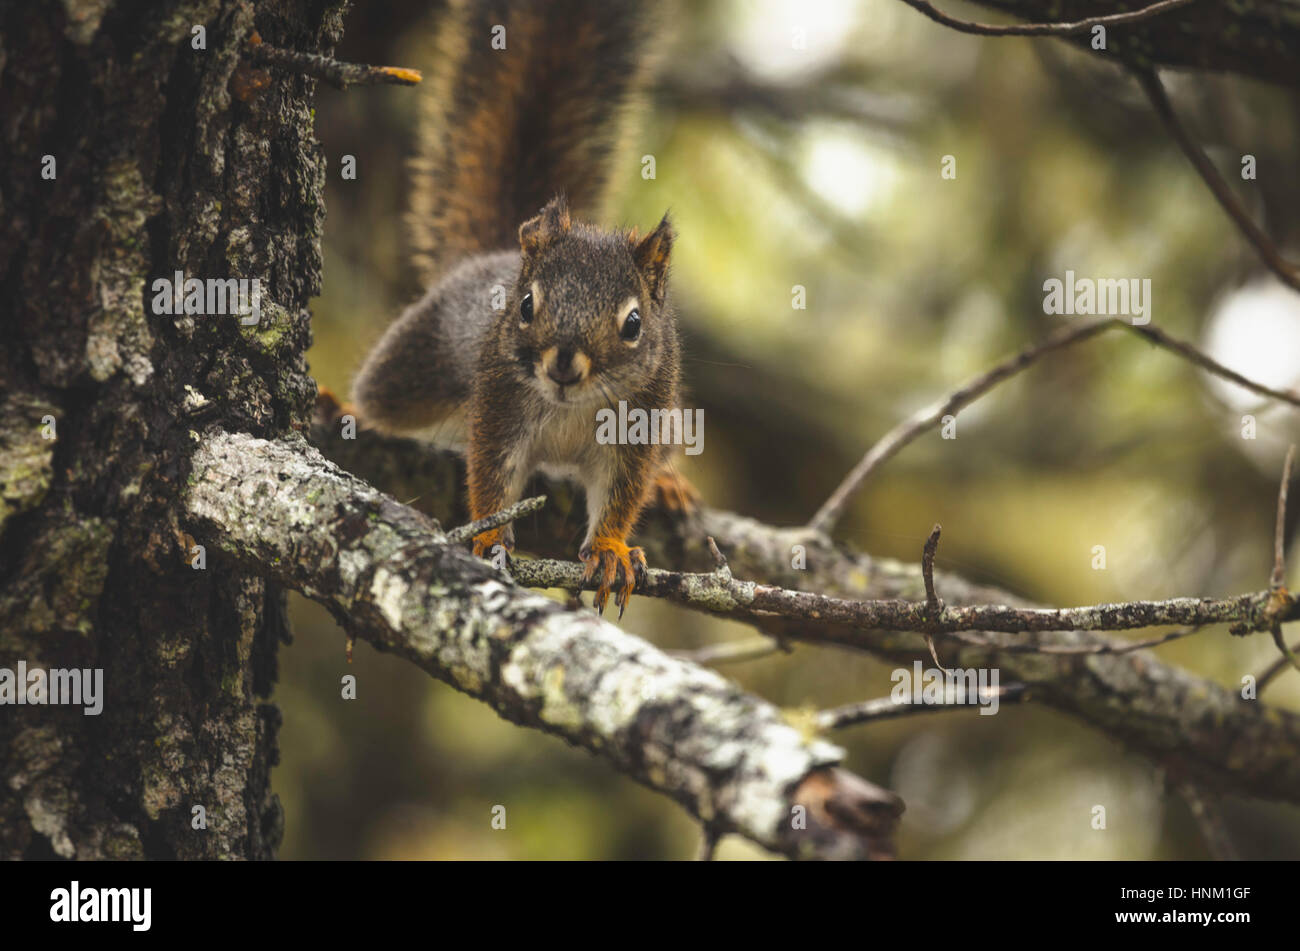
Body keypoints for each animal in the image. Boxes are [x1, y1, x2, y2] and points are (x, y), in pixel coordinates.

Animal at [351, 0, 696, 618]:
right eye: (528, 304)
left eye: (634, 324)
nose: (562, 365)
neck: (572, 406)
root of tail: (493, 255)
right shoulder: (499, 401)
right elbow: (492, 473)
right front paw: (488, 534)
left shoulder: (643, 415)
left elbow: (622, 492)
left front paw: (610, 548)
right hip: (419, 359)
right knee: (377, 396)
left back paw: (673, 483)